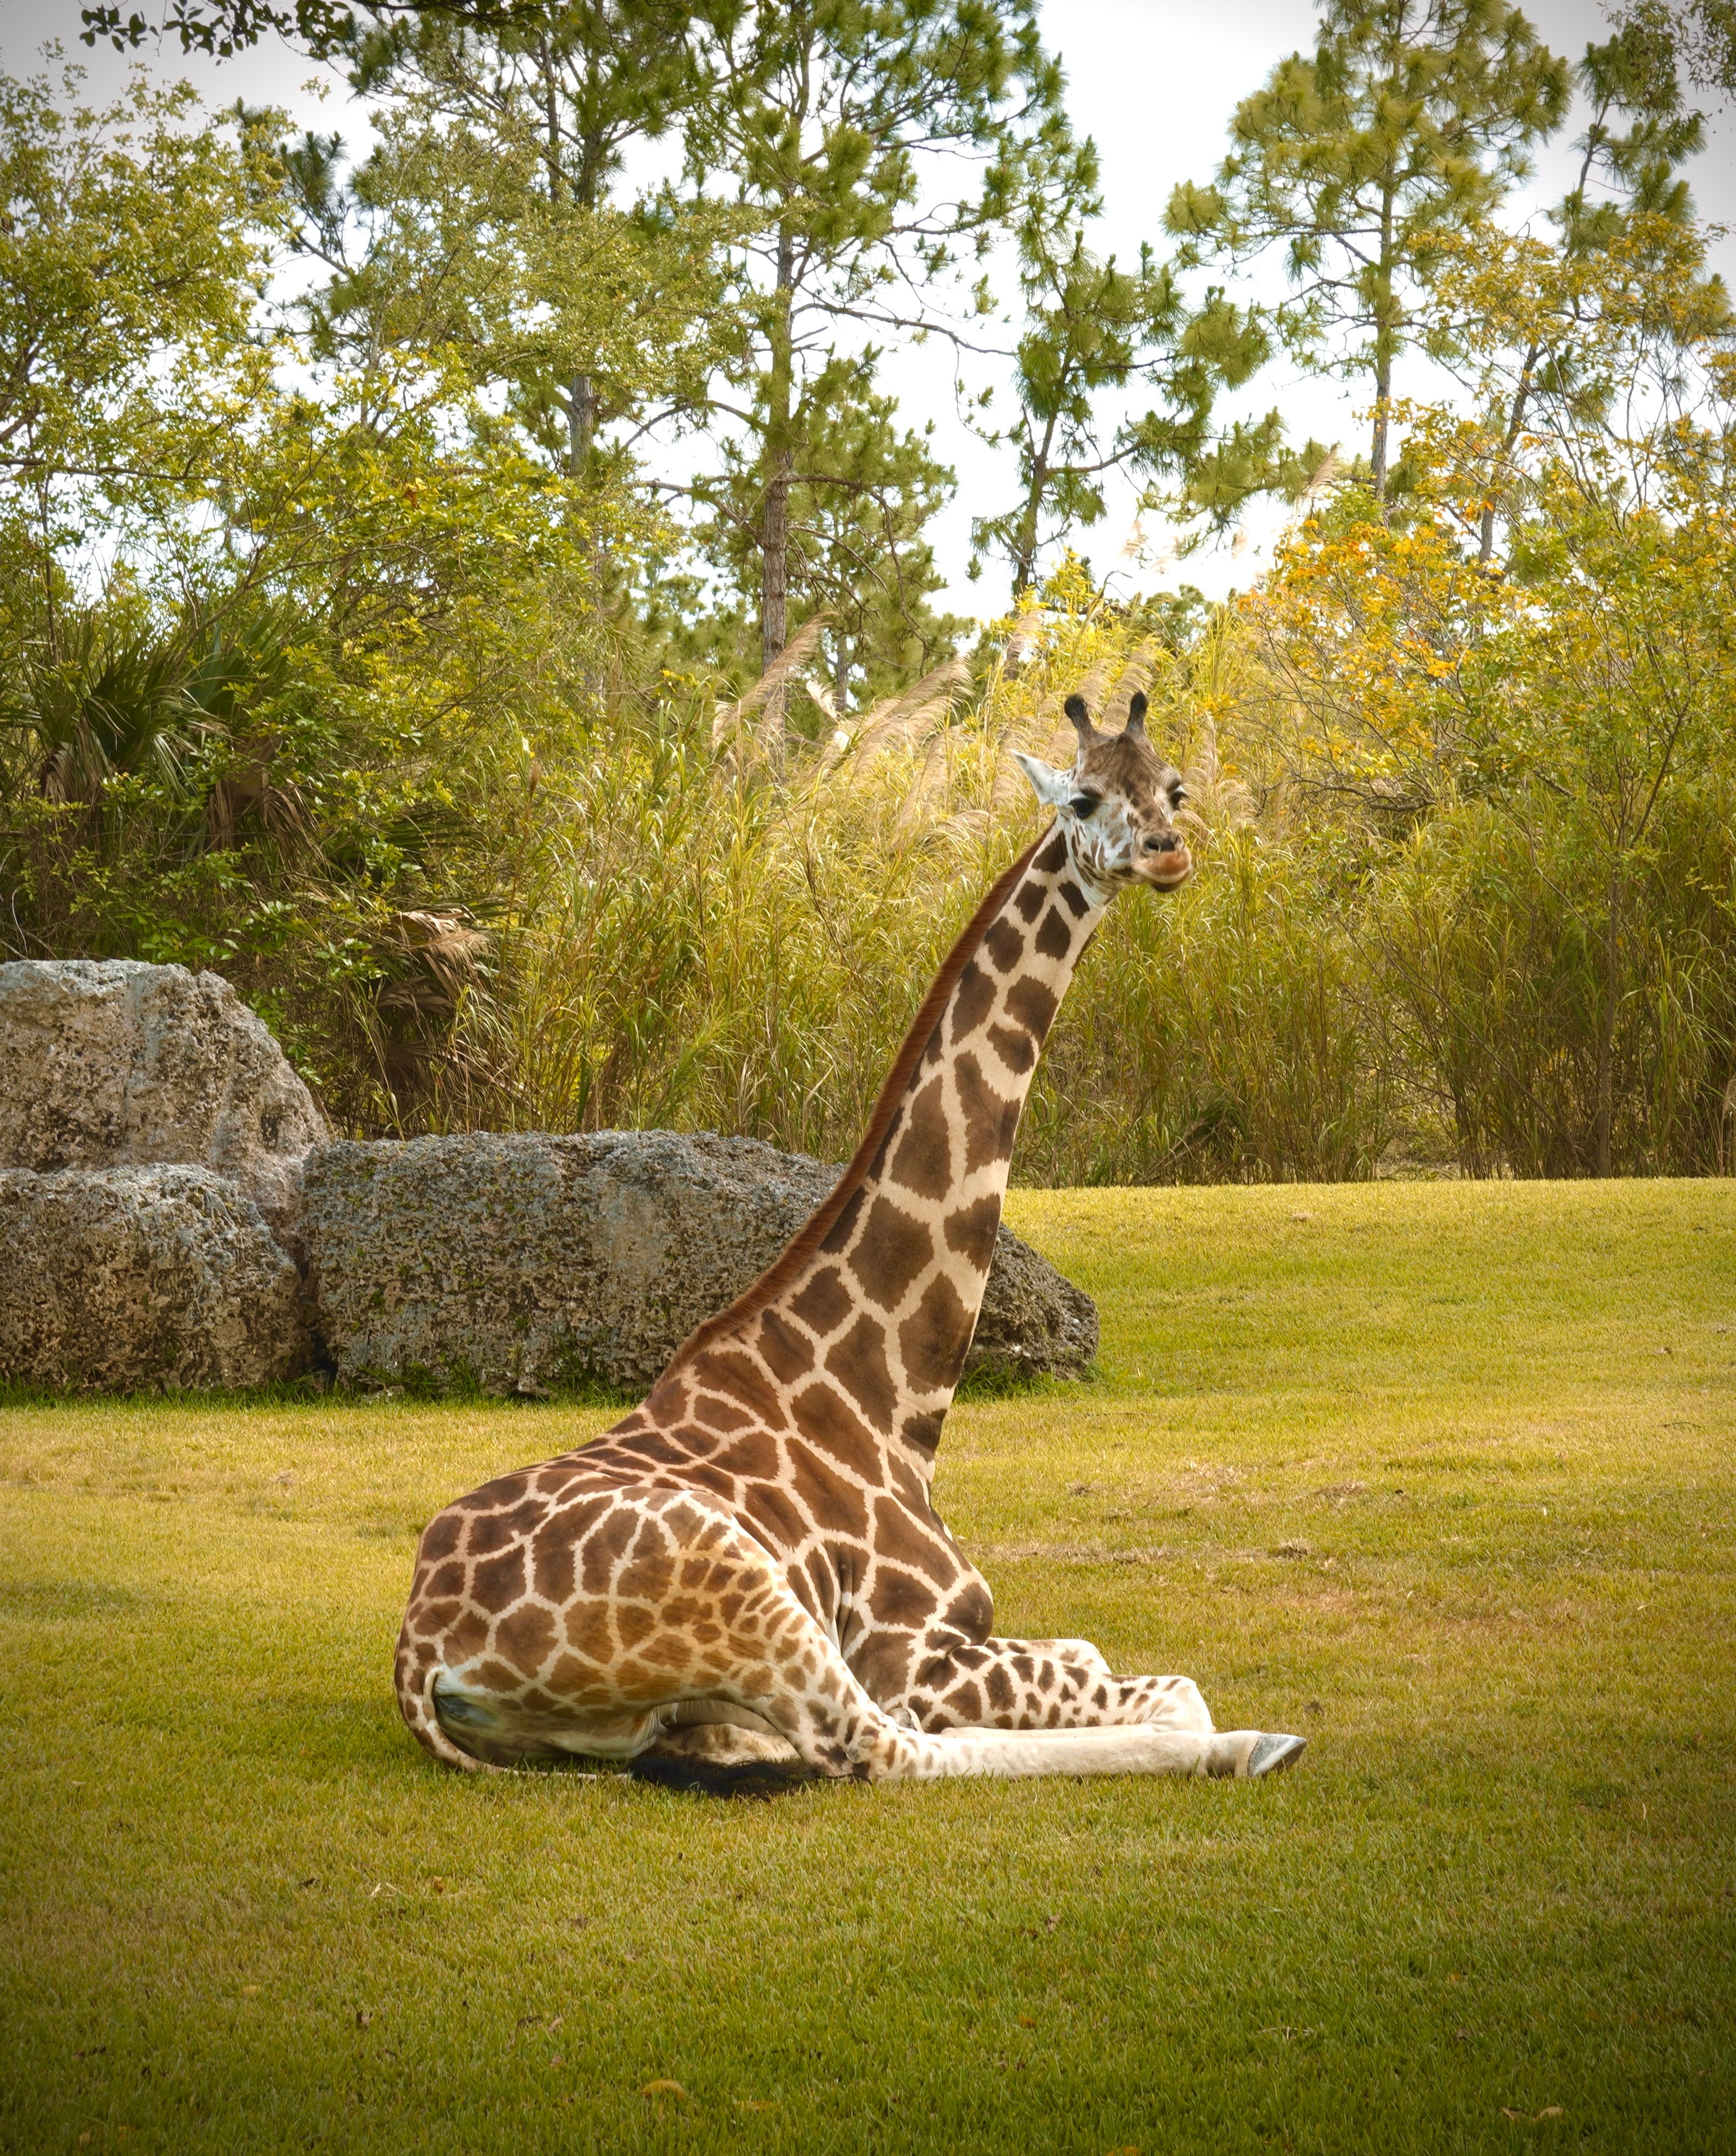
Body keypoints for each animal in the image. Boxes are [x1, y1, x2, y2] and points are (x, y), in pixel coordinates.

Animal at [394, 691, 1306, 1790]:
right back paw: (1255, 1741)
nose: (1168, 853)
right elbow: (1167, 1689)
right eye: (1084, 797)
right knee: (884, 1747)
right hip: (744, 1591)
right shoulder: (913, 1649)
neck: (894, 1400)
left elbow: (1098, 1654)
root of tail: (422, 1649)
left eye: (1174, 787)